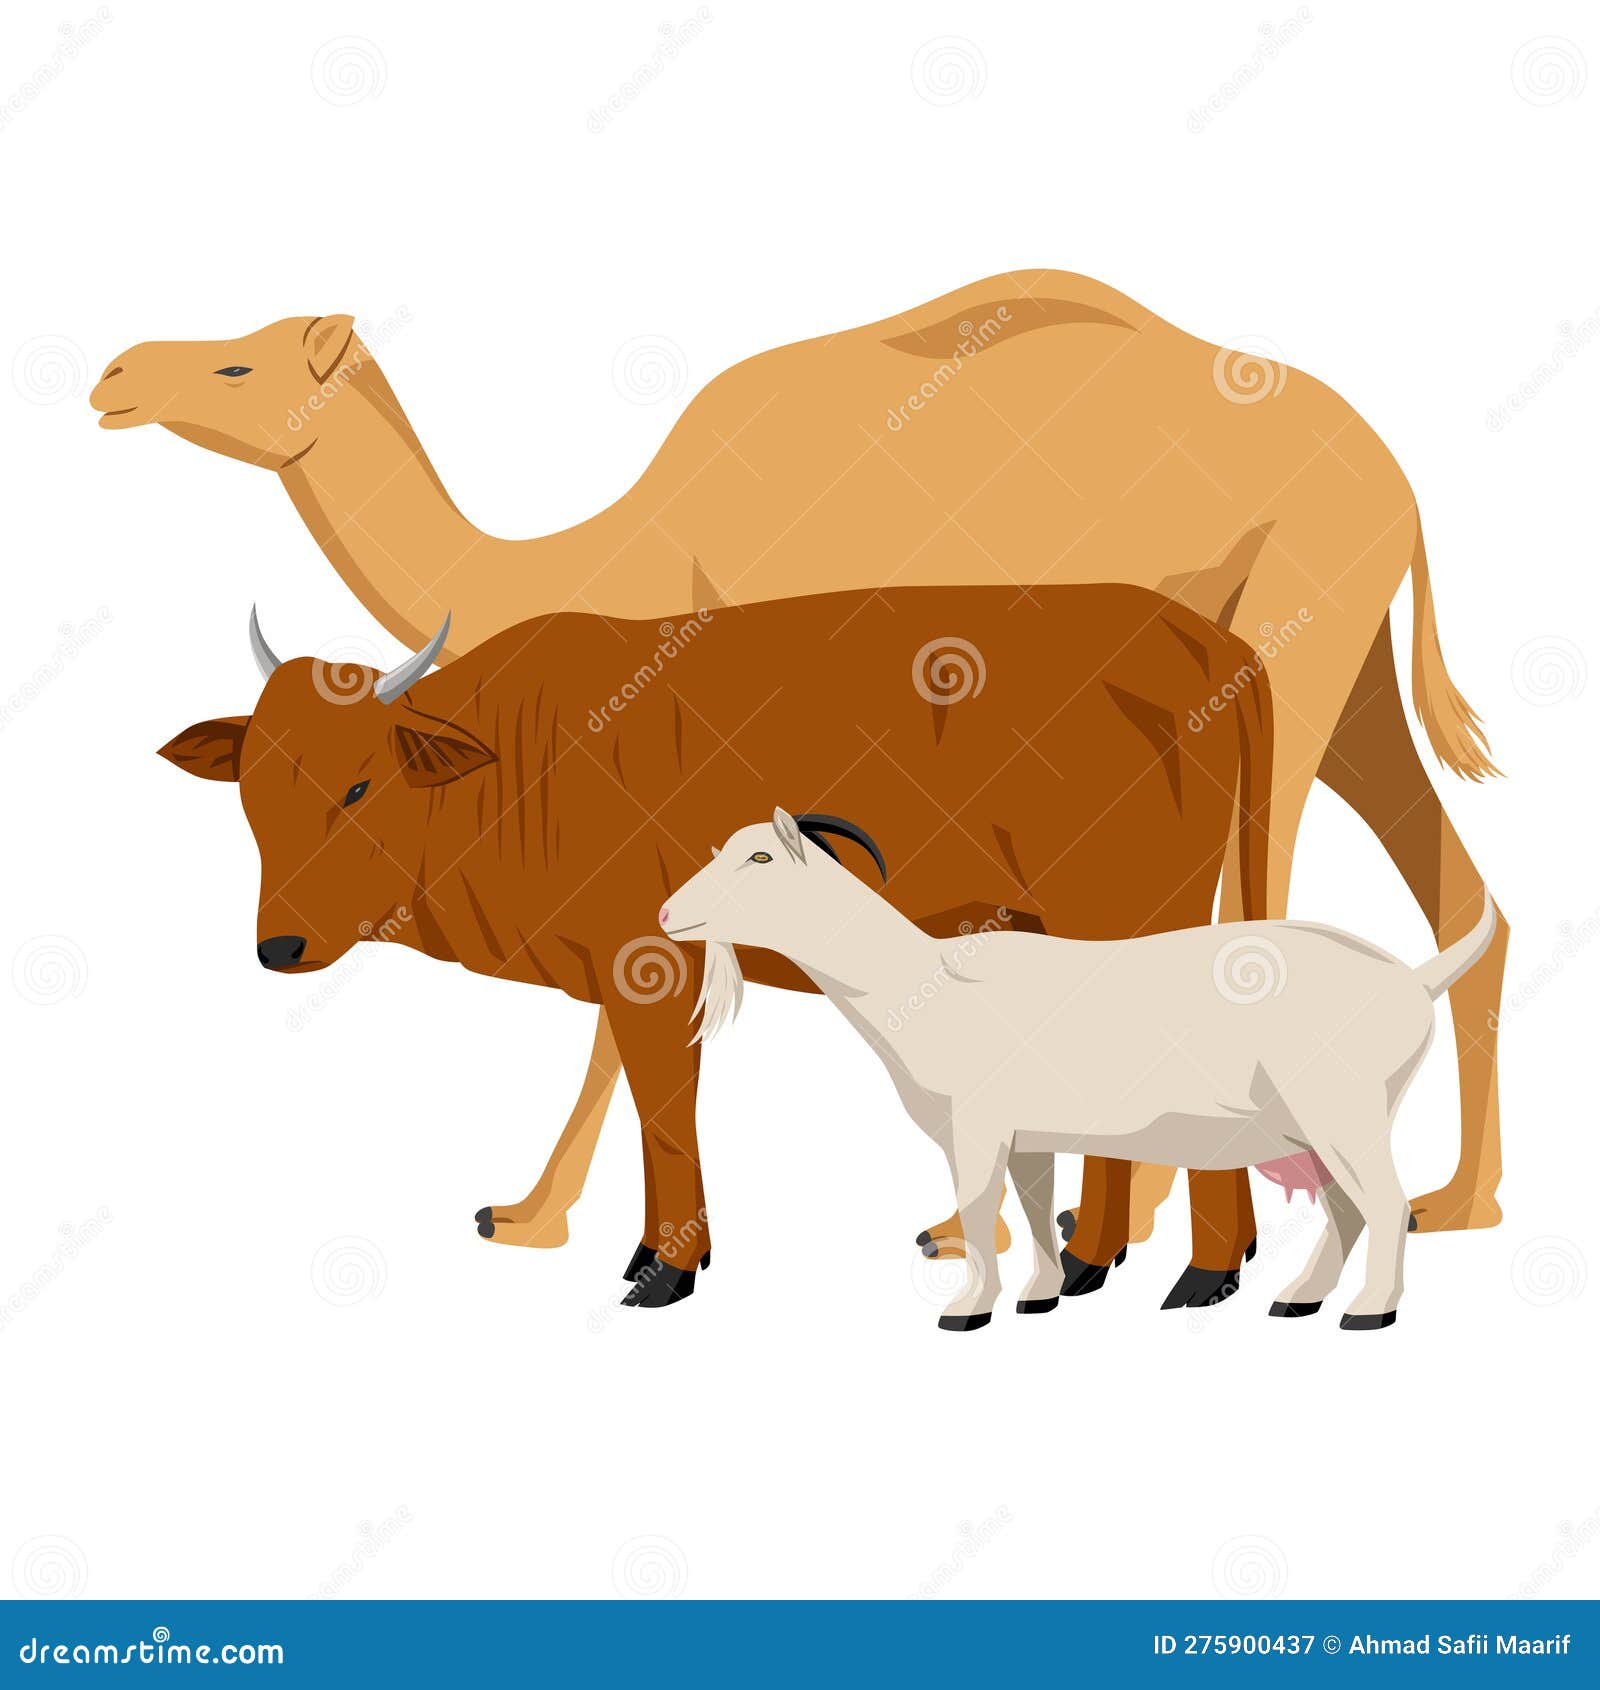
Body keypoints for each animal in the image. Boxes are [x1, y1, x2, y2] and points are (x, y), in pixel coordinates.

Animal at [158, 583, 1272, 1309]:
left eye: (357, 785)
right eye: (253, 786)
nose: (278, 945)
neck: (518, 761)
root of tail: (1211, 645)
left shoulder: (648, 965)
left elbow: (661, 1102)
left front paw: (666, 1264)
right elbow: (614, 1078)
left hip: (1133, 909)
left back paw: (1199, 1268)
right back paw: (1094, 1260)